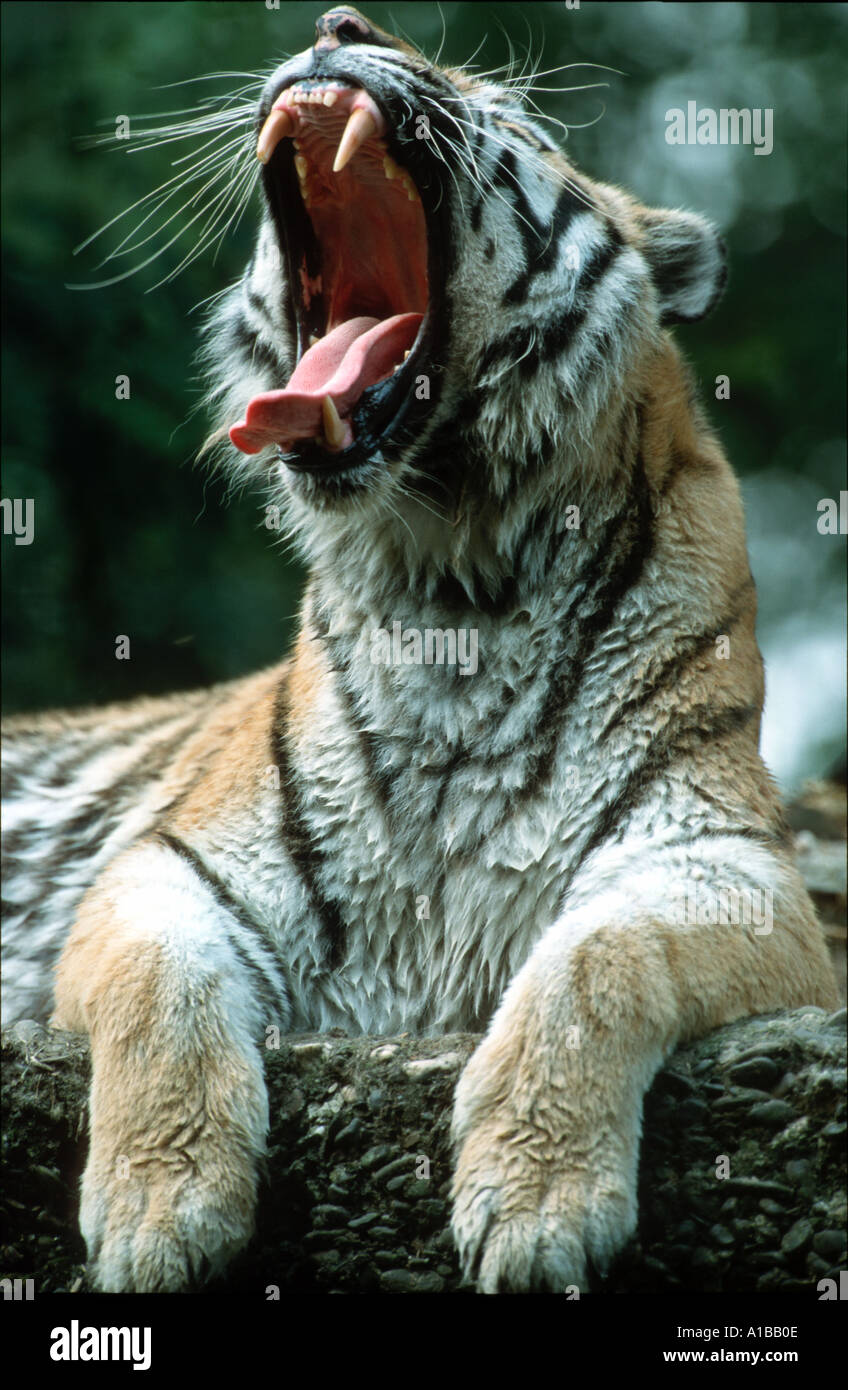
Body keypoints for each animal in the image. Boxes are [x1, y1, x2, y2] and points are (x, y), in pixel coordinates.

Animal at [1, 5, 837, 1295]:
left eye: (502, 101)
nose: (339, 22)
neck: (450, 582)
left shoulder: (722, 866)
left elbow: (595, 959)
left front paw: (536, 1199)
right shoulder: (166, 864)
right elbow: (161, 984)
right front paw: (159, 1207)